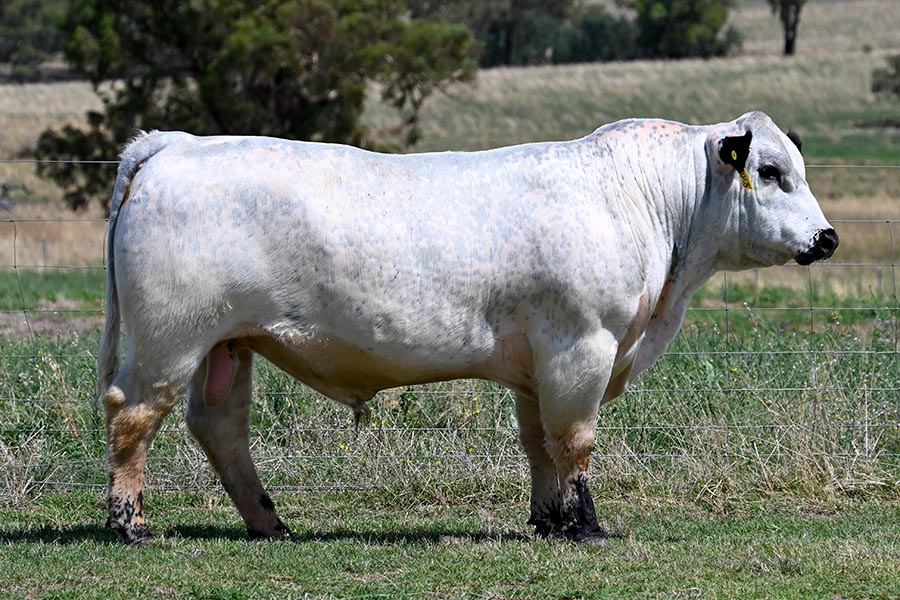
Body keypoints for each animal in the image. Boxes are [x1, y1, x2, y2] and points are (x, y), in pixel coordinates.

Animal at [98, 111, 837, 546]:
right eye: (770, 171)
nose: (826, 238)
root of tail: (178, 145)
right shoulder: (581, 346)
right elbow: (574, 442)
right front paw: (586, 526)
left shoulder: (537, 364)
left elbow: (539, 445)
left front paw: (549, 521)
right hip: (170, 338)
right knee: (132, 416)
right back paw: (130, 523)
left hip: (227, 343)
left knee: (220, 428)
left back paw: (268, 521)